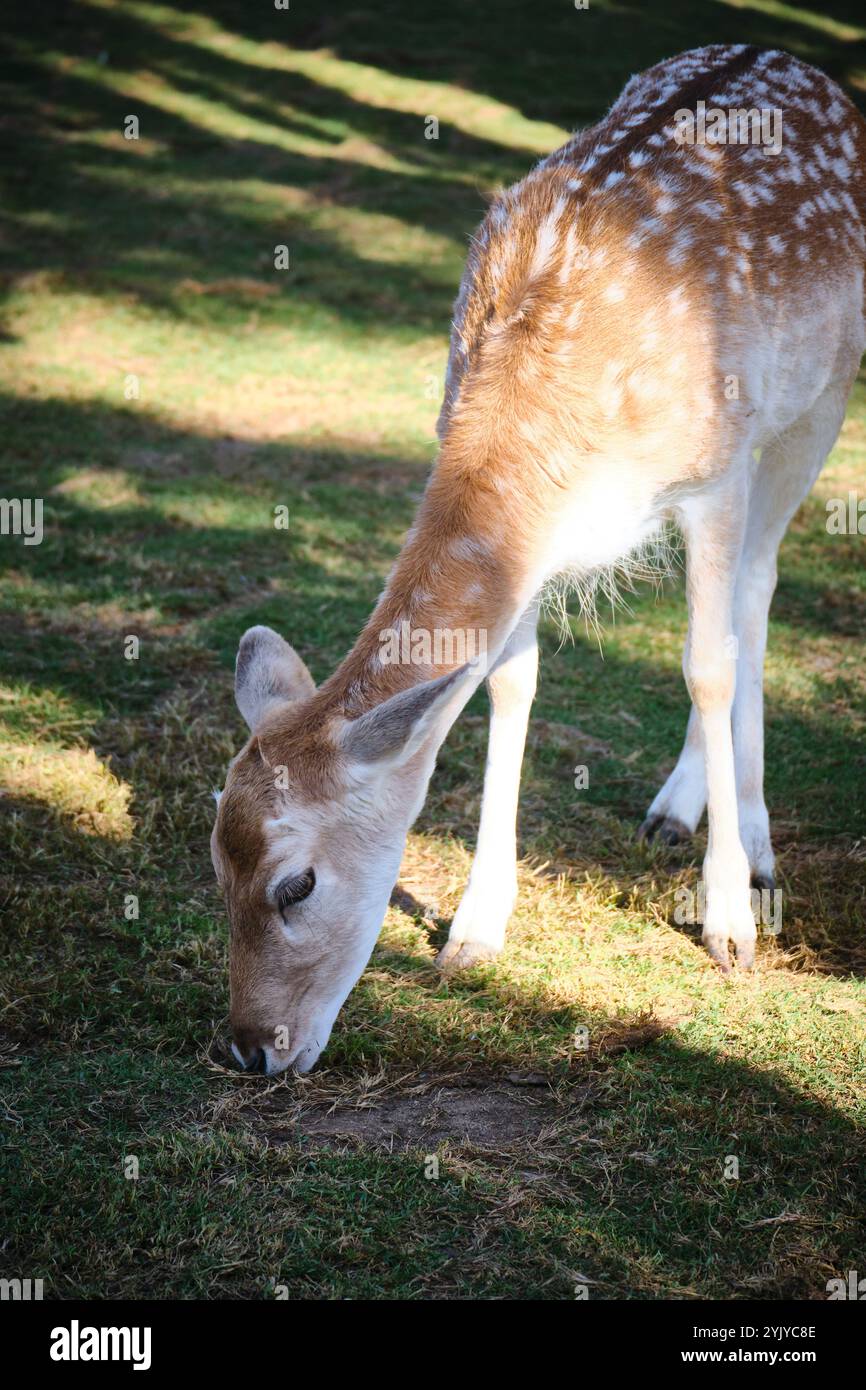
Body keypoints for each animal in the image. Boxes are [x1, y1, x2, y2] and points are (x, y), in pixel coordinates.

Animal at [211, 44, 866, 1075]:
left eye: (295, 884)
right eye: (212, 859)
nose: (247, 1048)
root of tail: (802, 63)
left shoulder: (713, 472)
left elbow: (709, 662)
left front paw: (727, 922)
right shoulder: (531, 543)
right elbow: (508, 684)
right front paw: (475, 929)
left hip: (820, 398)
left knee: (754, 597)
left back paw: (753, 846)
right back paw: (675, 811)